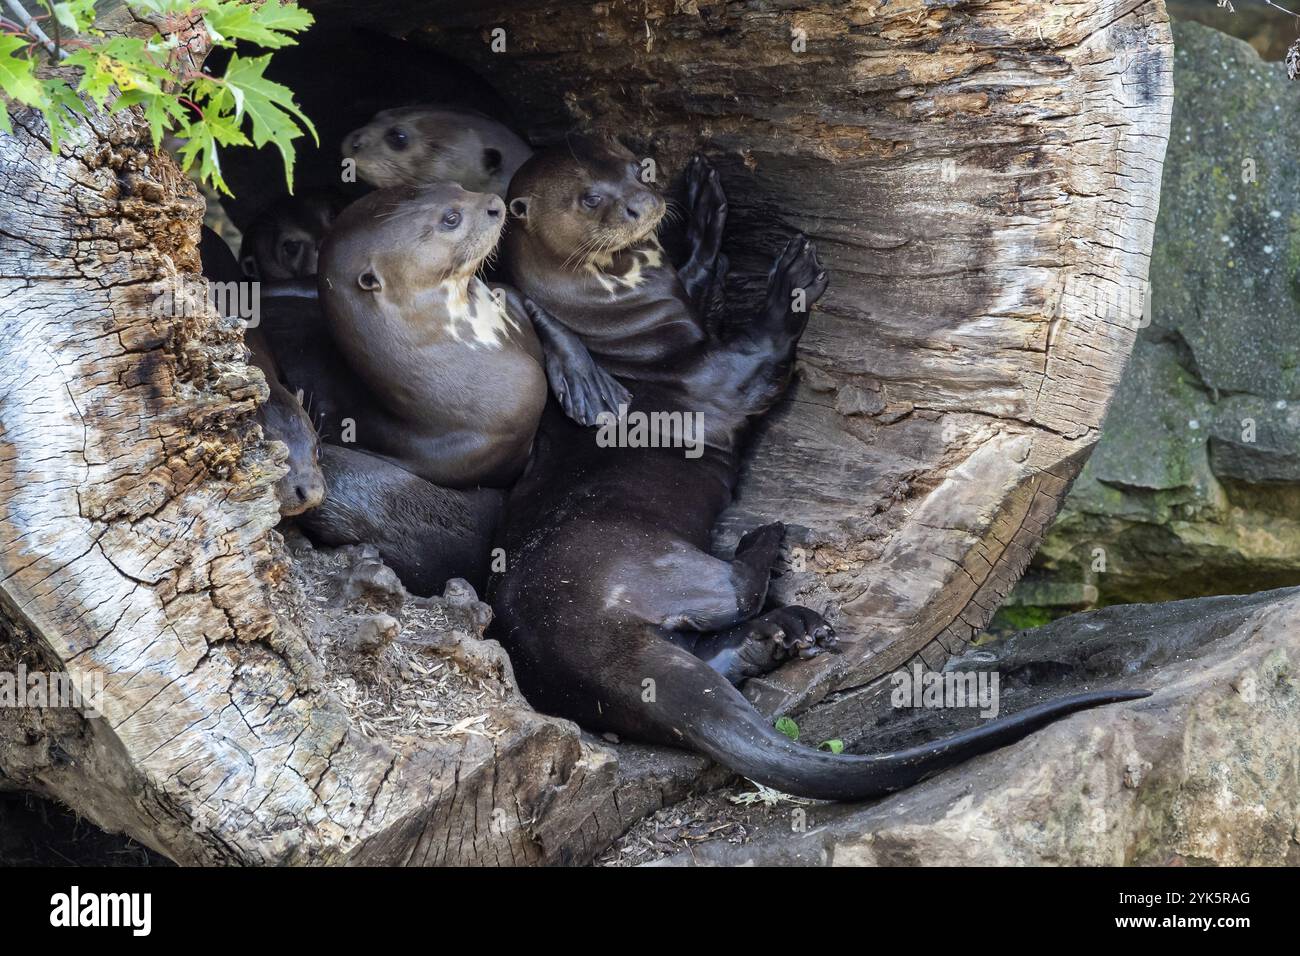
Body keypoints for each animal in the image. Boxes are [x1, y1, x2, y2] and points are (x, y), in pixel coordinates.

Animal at [489, 137, 1148, 801]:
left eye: (634, 167)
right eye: (589, 198)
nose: (639, 204)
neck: (621, 326)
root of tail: (573, 641)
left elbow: (703, 279)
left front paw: (705, 212)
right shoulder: (718, 375)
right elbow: (762, 356)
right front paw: (791, 282)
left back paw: (782, 636)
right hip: (643, 561)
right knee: (734, 589)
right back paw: (768, 550)